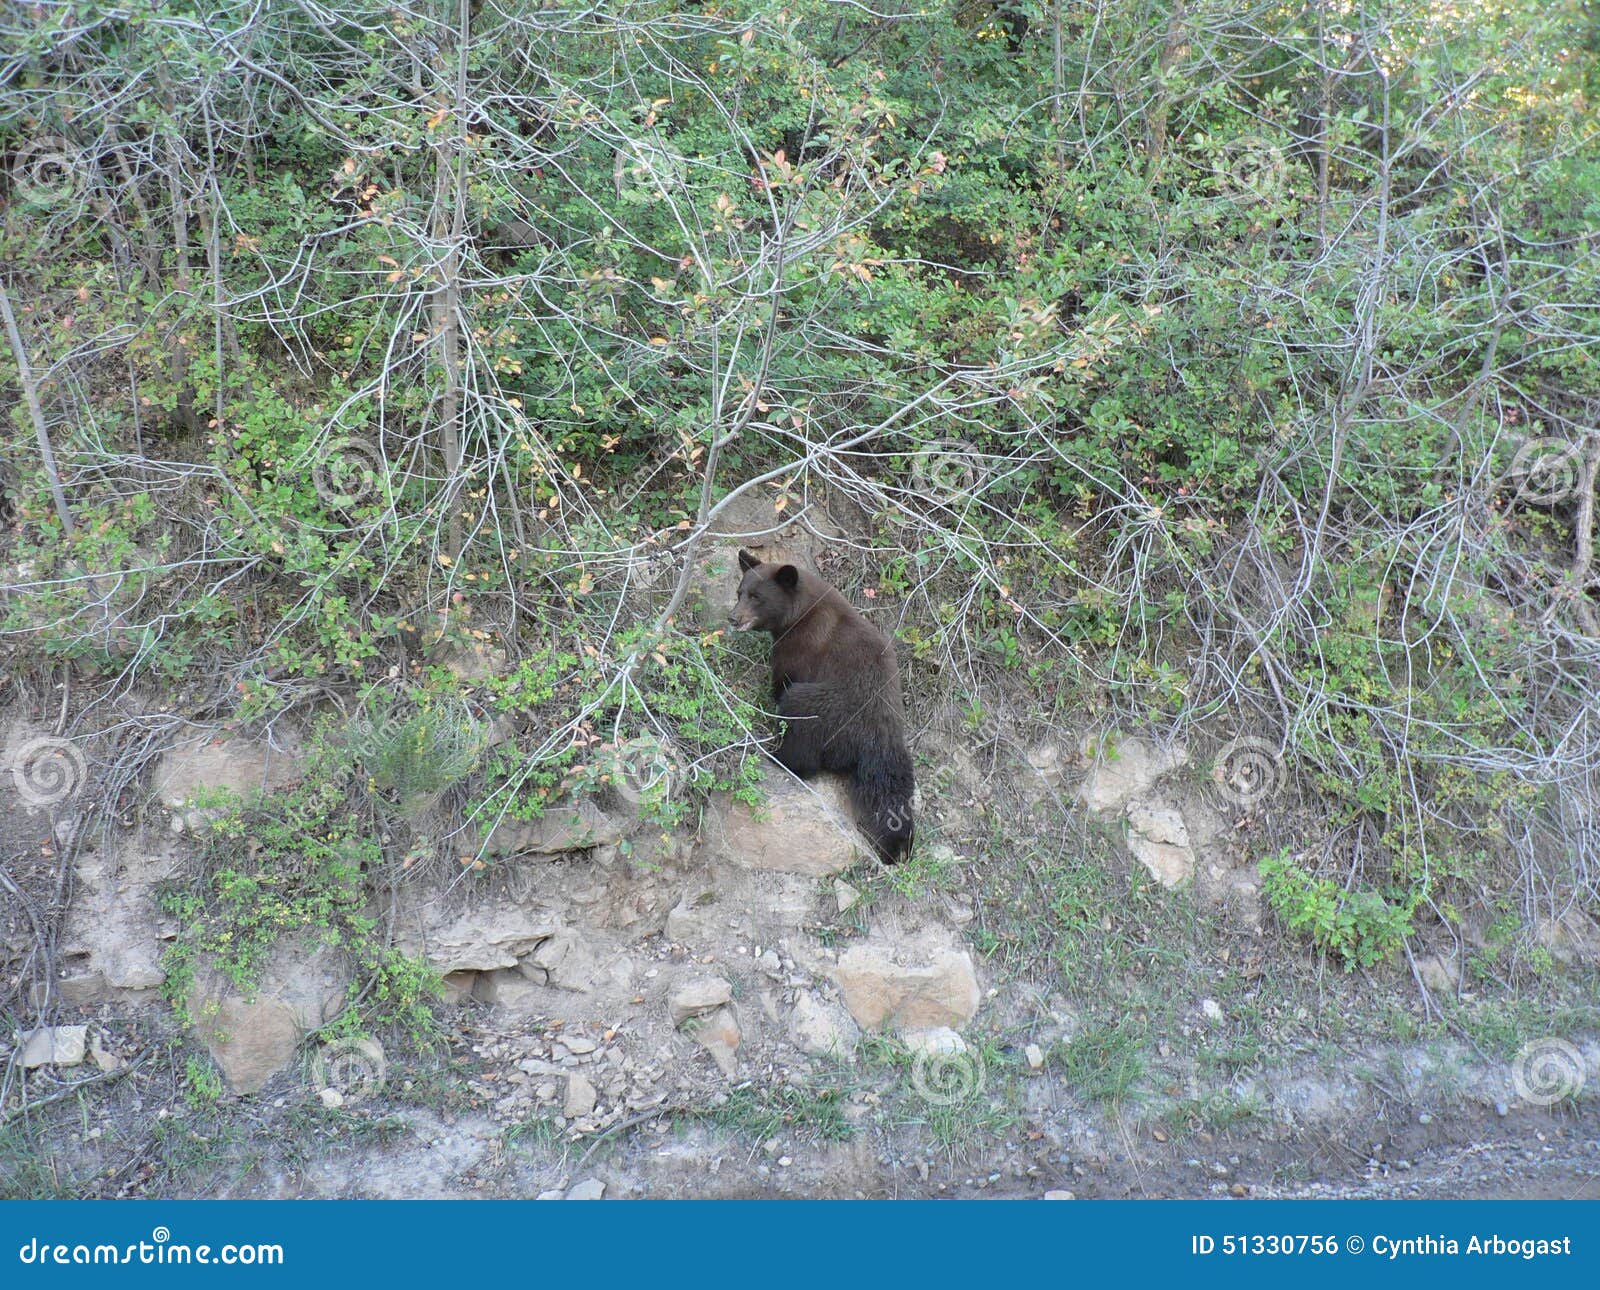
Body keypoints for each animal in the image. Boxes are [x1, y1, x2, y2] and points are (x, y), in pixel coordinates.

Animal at [729, 549, 914, 862]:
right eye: (740, 592)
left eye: (757, 597)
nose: (733, 617)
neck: (801, 613)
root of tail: (876, 742)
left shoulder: (800, 648)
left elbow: (782, 680)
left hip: (822, 710)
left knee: (801, 735)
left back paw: (778, 756)